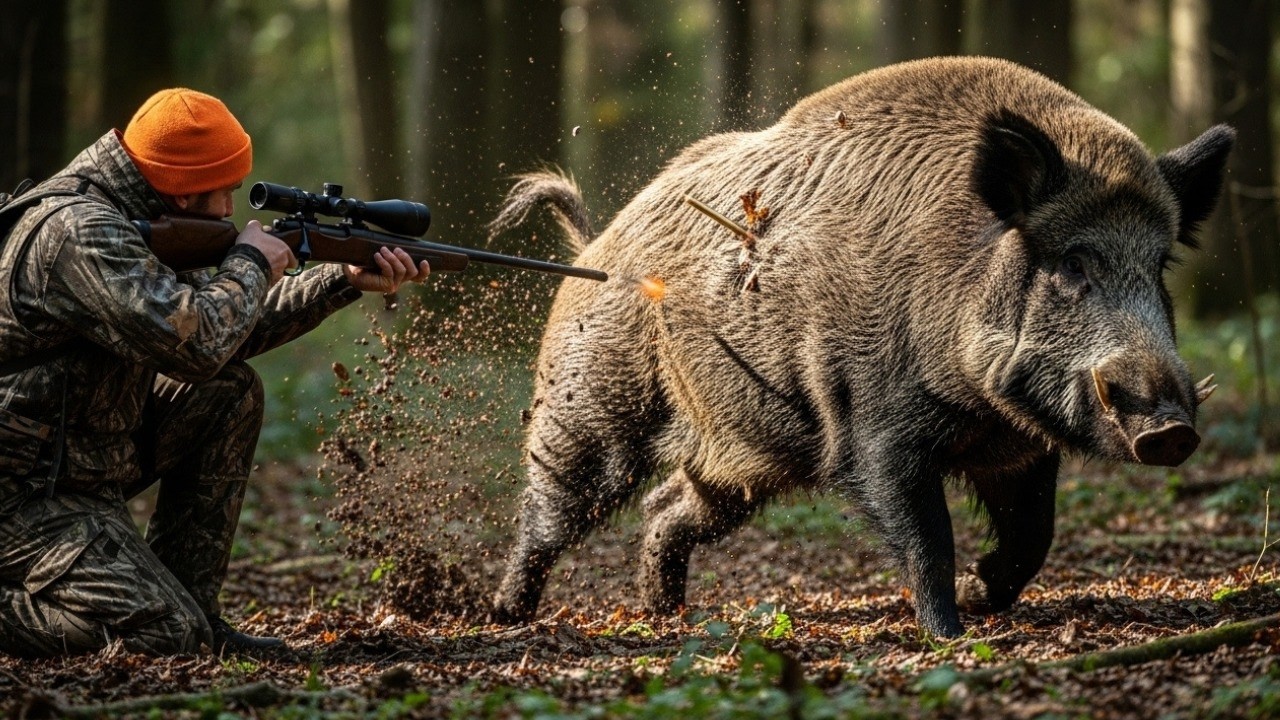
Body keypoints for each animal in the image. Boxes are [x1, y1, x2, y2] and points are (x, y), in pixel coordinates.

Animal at [487, 56, 1231, 637]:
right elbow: (928, 538)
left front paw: (979, 597)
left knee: (669, 507)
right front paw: (949, 633)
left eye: (1159, 266)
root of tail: (594, 246)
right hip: (589, 403)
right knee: (552, 509)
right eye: (1073, 264)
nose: (1170, 429)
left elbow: (1032, 538)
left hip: (743, 456)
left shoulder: (1016, 449)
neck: (978, 405)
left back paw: (665, 612)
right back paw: (504, 614)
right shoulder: (874, 424)